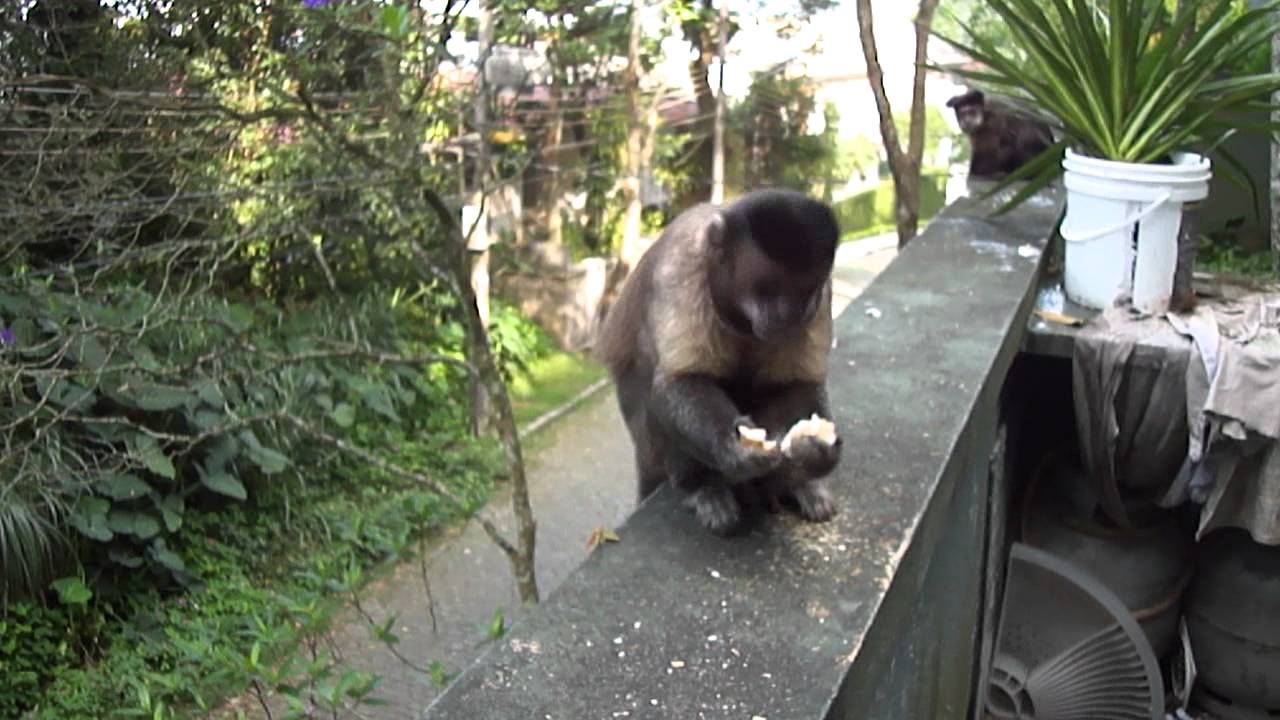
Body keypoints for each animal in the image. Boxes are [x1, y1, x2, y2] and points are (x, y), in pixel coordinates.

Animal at [593, 188, 844, 535]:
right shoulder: (680, 272)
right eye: (769, 286)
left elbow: (797, 384)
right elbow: (678, 380)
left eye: (805, 291)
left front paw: (813, 452)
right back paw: (702, 488)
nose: (790, 315)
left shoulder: (822, 298)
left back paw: (794, 485)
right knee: (652, 384)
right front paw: (733, 449)